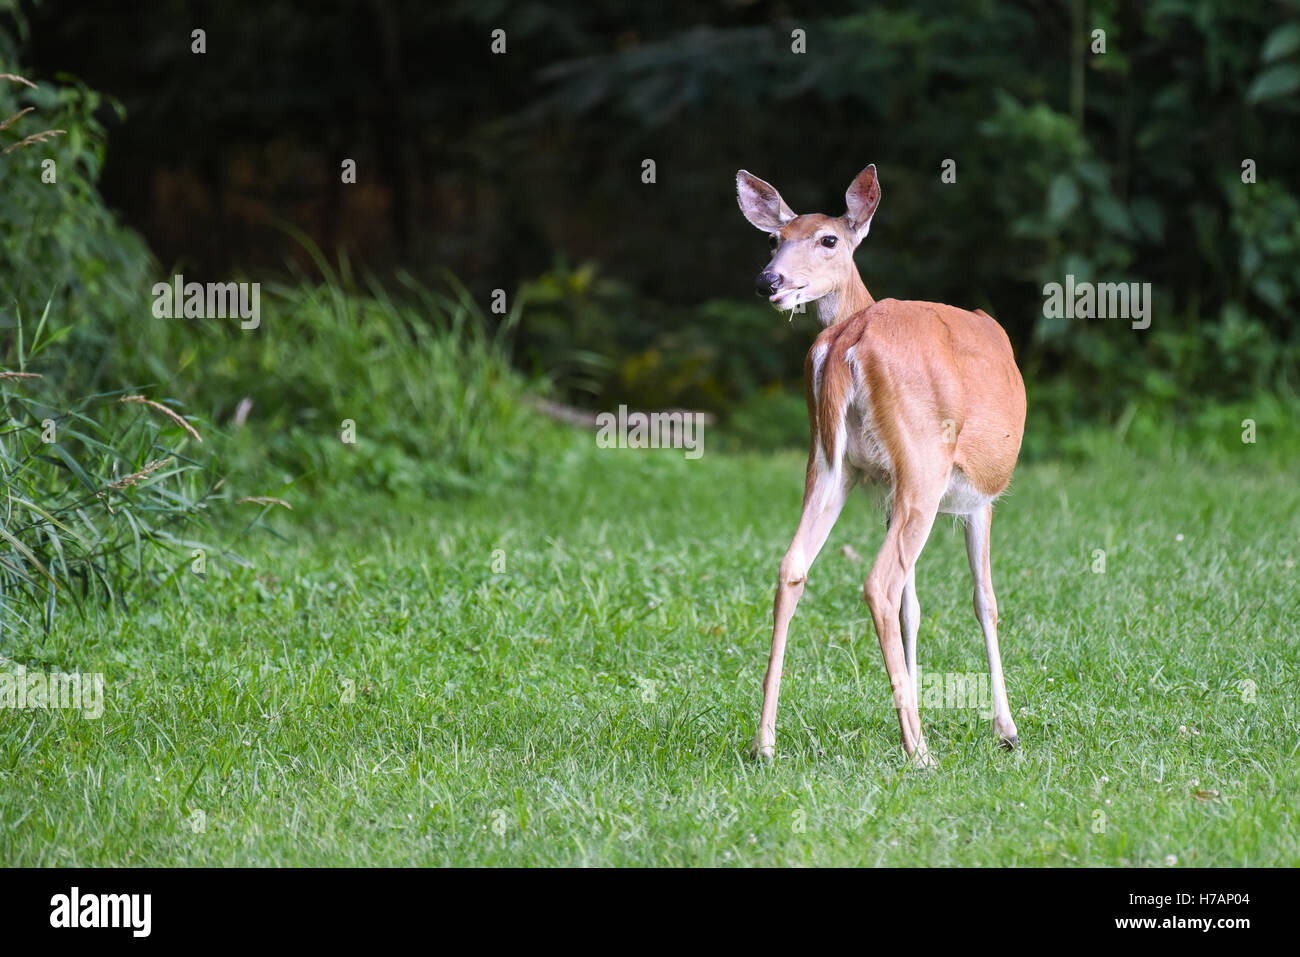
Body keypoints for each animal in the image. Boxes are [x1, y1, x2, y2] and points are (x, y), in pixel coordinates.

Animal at [743, 162, 1024, 764]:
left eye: (827, 239)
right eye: (775, 239)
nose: (768, 280)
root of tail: (849, 339)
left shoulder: (889, 493)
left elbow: (915, 609)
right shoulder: (978, 497)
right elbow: (984, 600)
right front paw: (1005, 729)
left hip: (827, 460)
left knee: (792, 564)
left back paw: (765, 743)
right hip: (923, 463)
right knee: (879, 583)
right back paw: (920, 752)